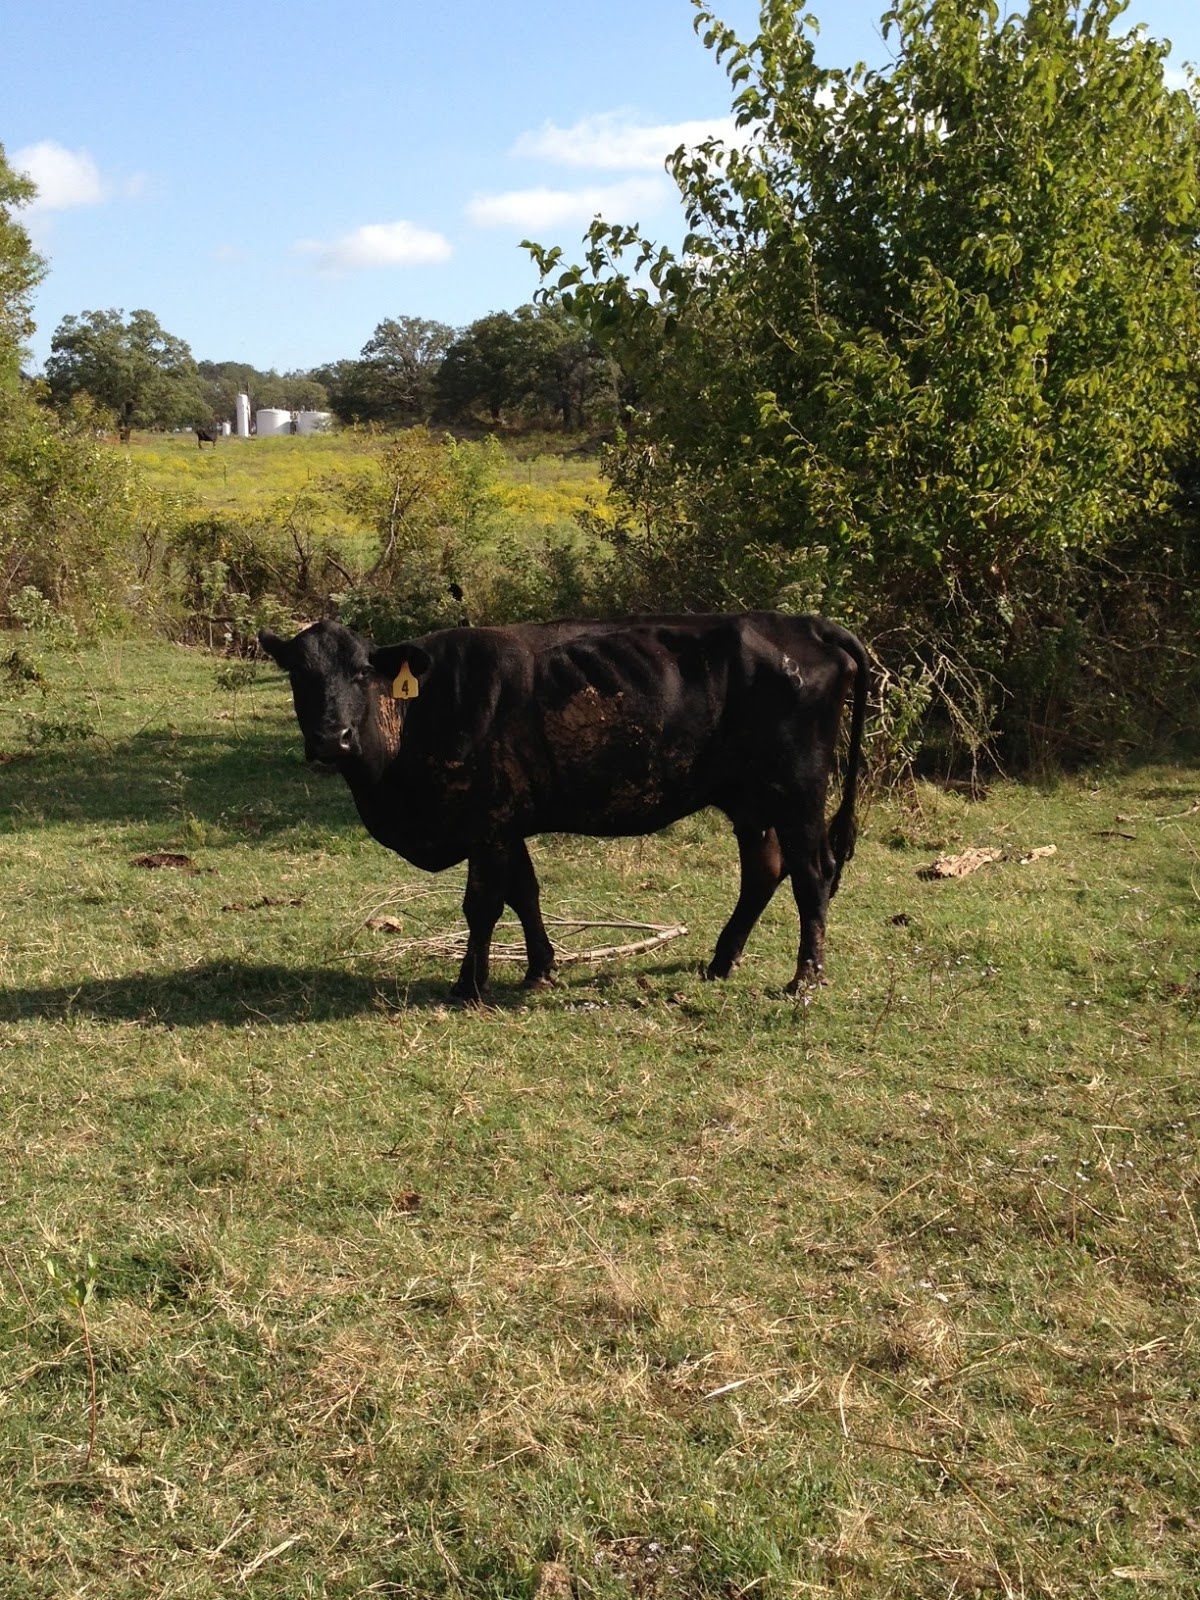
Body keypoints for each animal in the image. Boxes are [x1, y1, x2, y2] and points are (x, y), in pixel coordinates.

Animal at [258, 613, 868, 1002]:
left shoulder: (488, 823)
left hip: (799, 790)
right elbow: (524, 893)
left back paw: (805, 978)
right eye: (299, 674)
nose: (331, 739)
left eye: (362, 673)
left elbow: (482, 905)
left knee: (811, 873)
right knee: (764, 871)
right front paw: (539, 970)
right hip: (749, 800)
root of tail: (804, 624)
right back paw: (721, 963)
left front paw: (468, 985)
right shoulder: (507, 825)